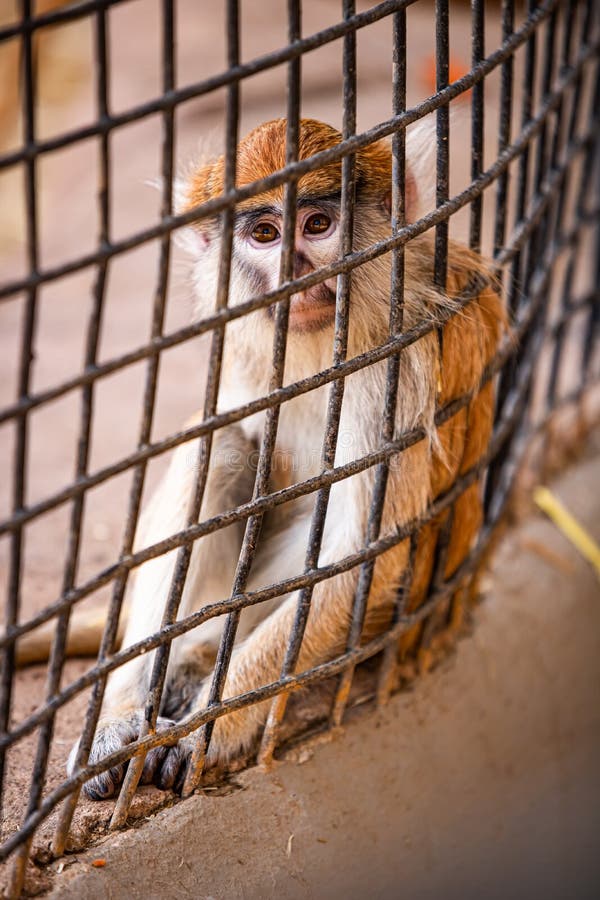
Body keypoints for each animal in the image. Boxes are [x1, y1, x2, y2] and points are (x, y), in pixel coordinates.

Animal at [18, 117, 505, 799]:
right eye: (265, 235)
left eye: (317, 226)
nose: (291, 269)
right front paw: (119, 717)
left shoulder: (397, 363)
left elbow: (361, 553)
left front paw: (206, 731)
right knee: (222, 449)